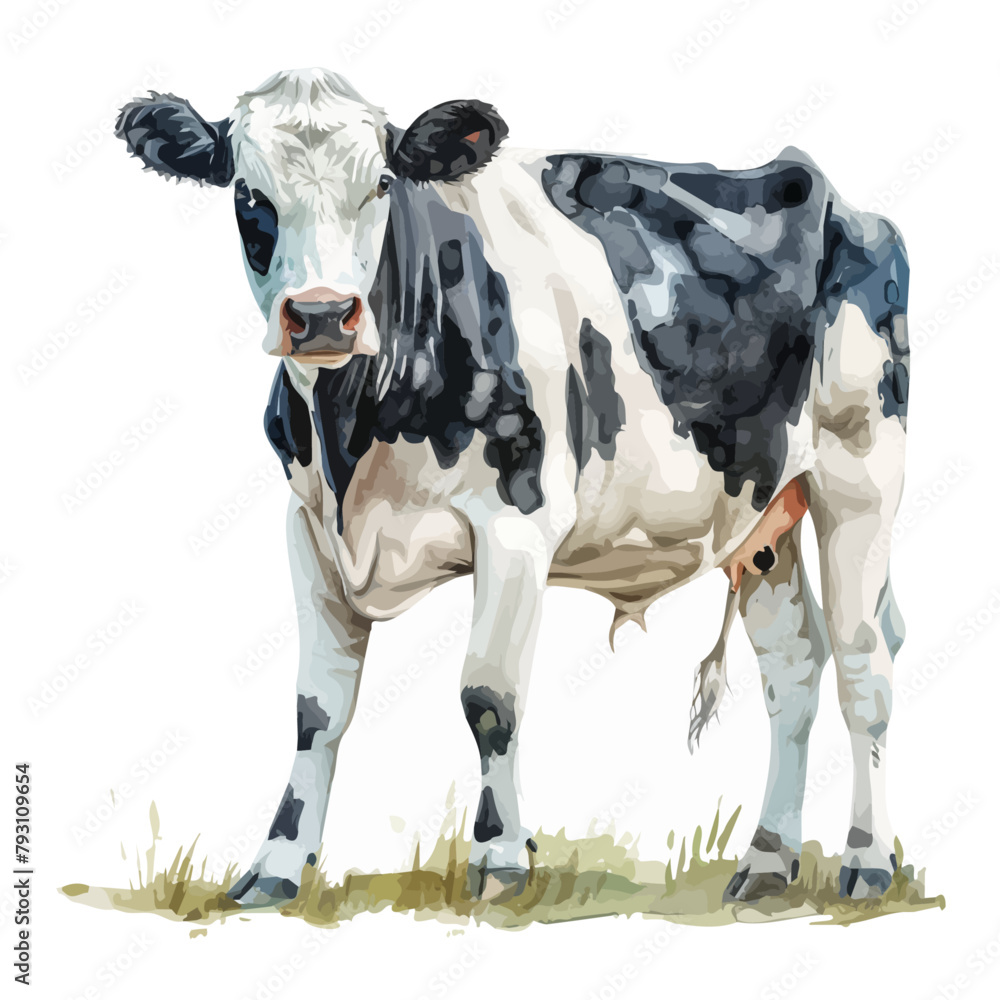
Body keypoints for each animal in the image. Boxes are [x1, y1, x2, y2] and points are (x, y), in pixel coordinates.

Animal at [115, 67, 910, 909]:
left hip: (860, 474)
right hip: (763, 514)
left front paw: (499, 858)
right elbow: (315, 709)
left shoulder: (516, 524)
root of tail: (834, 195)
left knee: (864, 664)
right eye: (247, 192)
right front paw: (275, 865)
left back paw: (868, 861)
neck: (353, 436)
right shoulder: (308, 528)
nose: (324, 315)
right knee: (794, 666)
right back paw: (764, 861)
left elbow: (489, 699)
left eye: (384, 183)